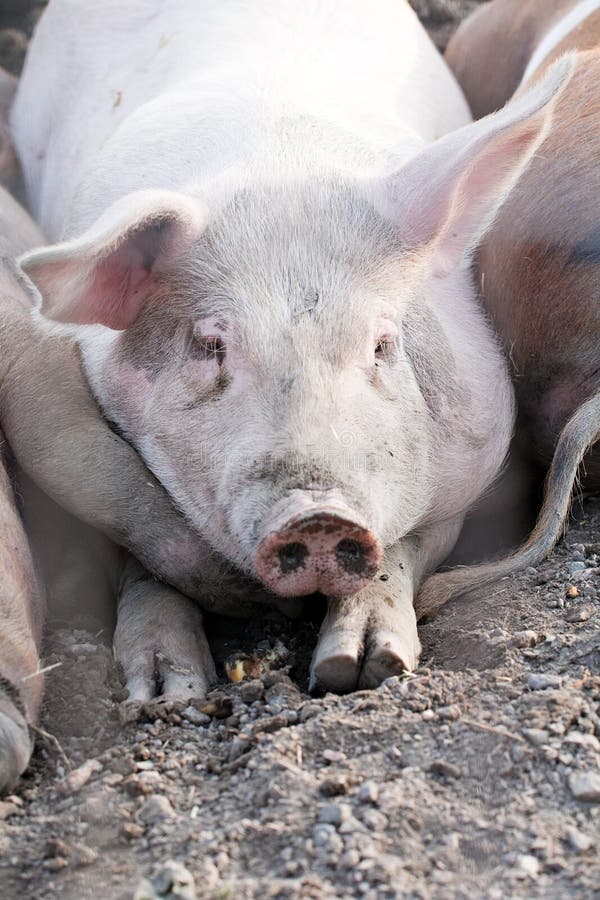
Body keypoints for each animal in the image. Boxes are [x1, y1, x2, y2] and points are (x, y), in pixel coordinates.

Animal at [11, 0, 572, 696]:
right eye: (210, 344)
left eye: (382, 344)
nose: (318, 515)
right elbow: (147, 558)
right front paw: (166, 692)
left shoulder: (468, 469)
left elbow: (401, 553)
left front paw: (365, 666)